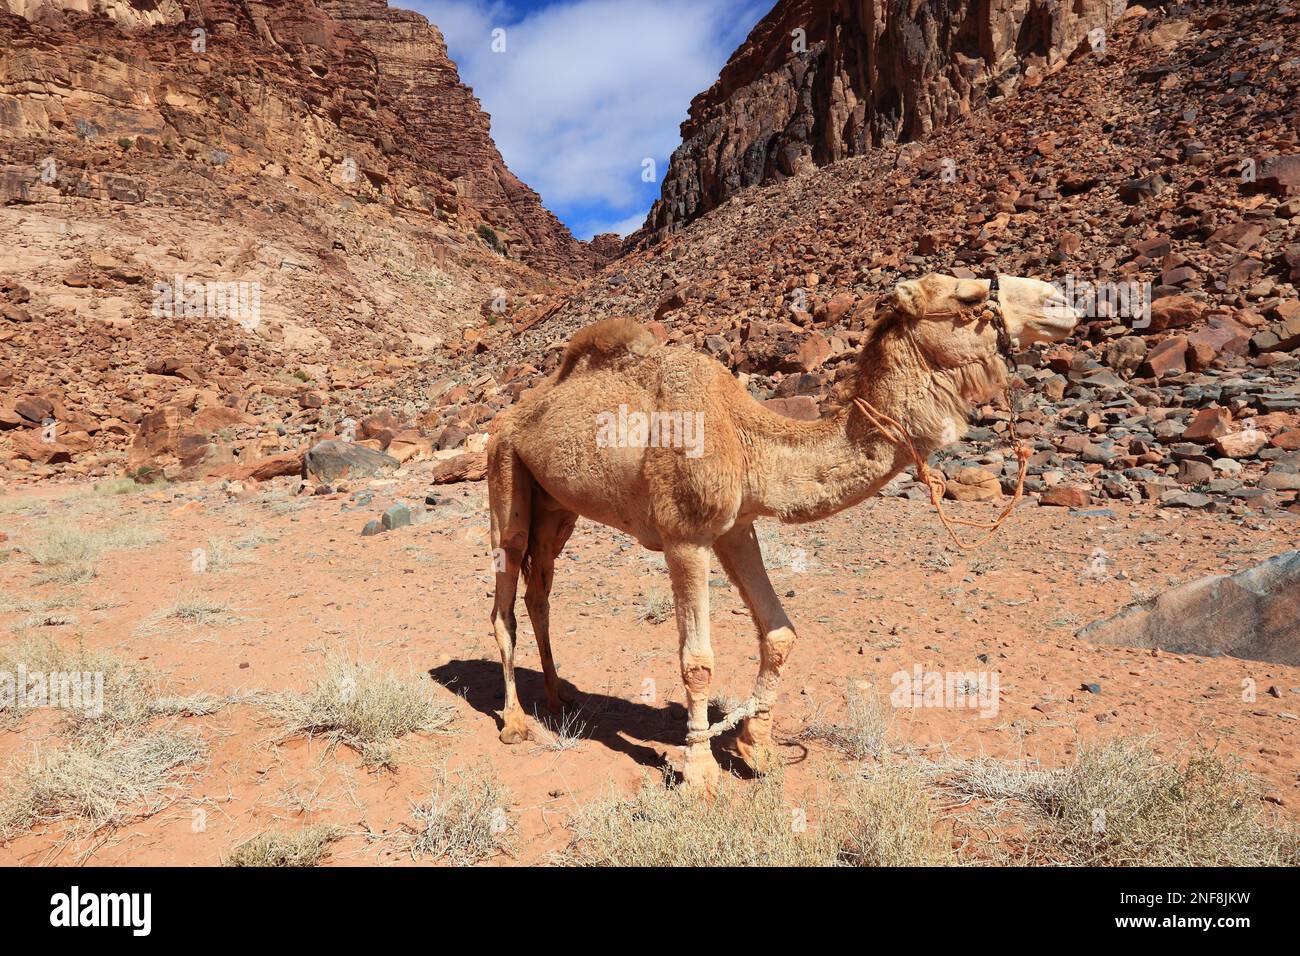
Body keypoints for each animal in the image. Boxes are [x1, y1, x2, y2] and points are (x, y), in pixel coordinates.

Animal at [486, 273, 1080, 792]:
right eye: (970, 296)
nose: (1062, 303)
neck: (747, 439)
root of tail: (510, 415)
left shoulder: (737, 528)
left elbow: (780, 633)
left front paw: (757, 748)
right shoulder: (685, 536)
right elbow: (697, 661)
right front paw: (700, 772)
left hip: (559, 507)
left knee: (541, 587)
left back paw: (559, 699)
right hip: (505, 473)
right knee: (505, 595)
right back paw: (514, 723)